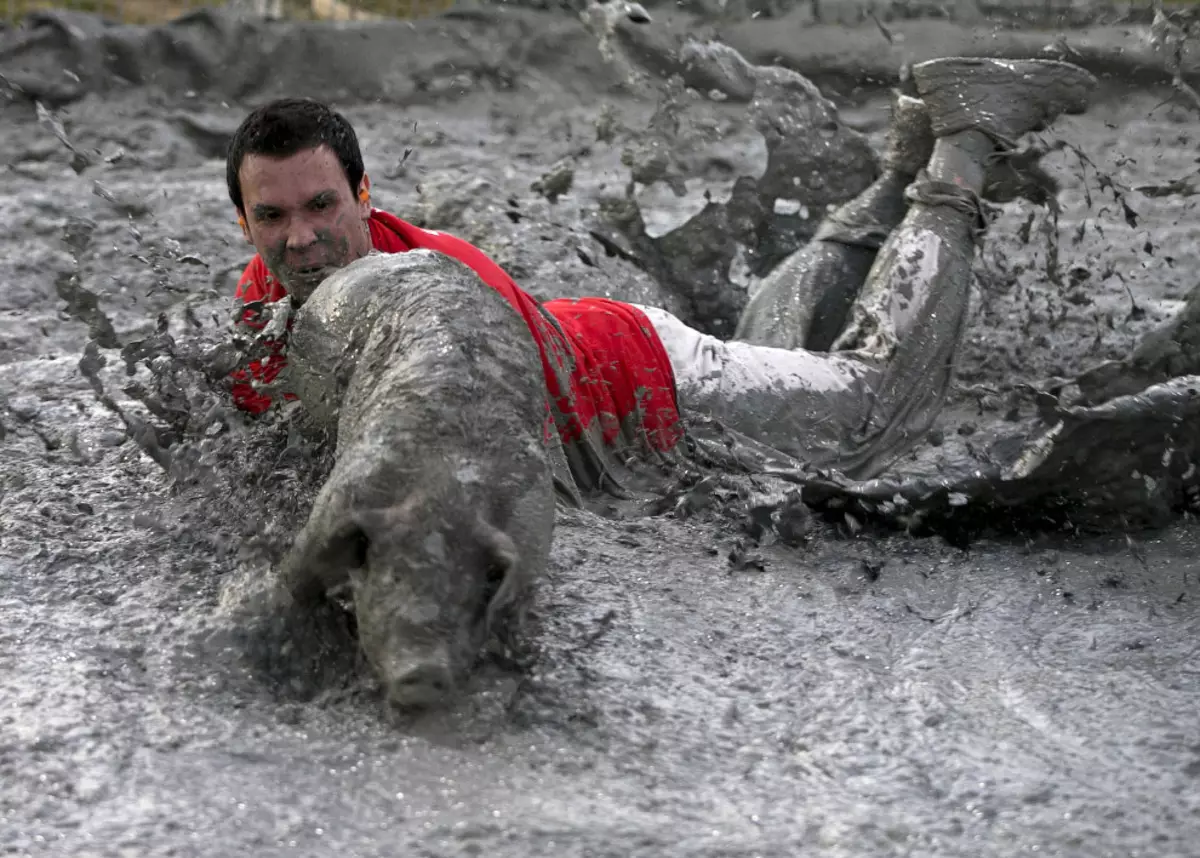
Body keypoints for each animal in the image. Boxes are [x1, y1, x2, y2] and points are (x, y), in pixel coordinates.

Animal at [274, 248, 554, 710]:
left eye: (467, 588)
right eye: (391, 577)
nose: (423, 671)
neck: (440, 486)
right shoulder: (337, 503)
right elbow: (294, 581)